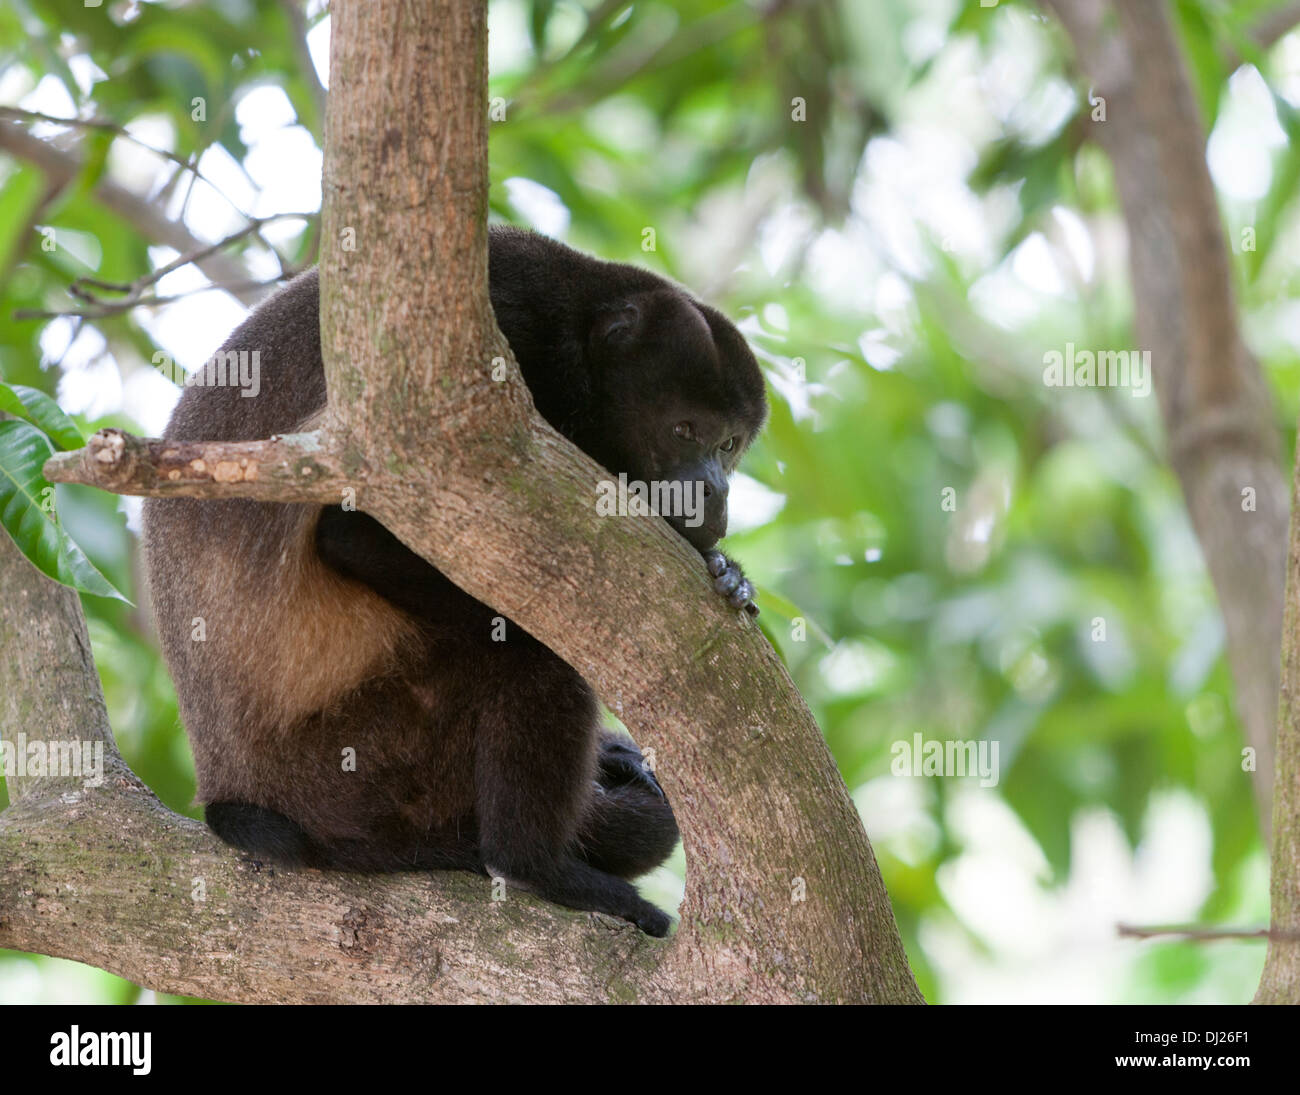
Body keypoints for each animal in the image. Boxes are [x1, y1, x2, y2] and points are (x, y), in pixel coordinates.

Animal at [141, 226, 768, 936]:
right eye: (685, 430)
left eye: (730, 445)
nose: (715, 491)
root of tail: (231, 791)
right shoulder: (504, 350)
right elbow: (352, 532)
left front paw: (728, 573)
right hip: (361, 765)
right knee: (530, 657)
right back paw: (539, 867)